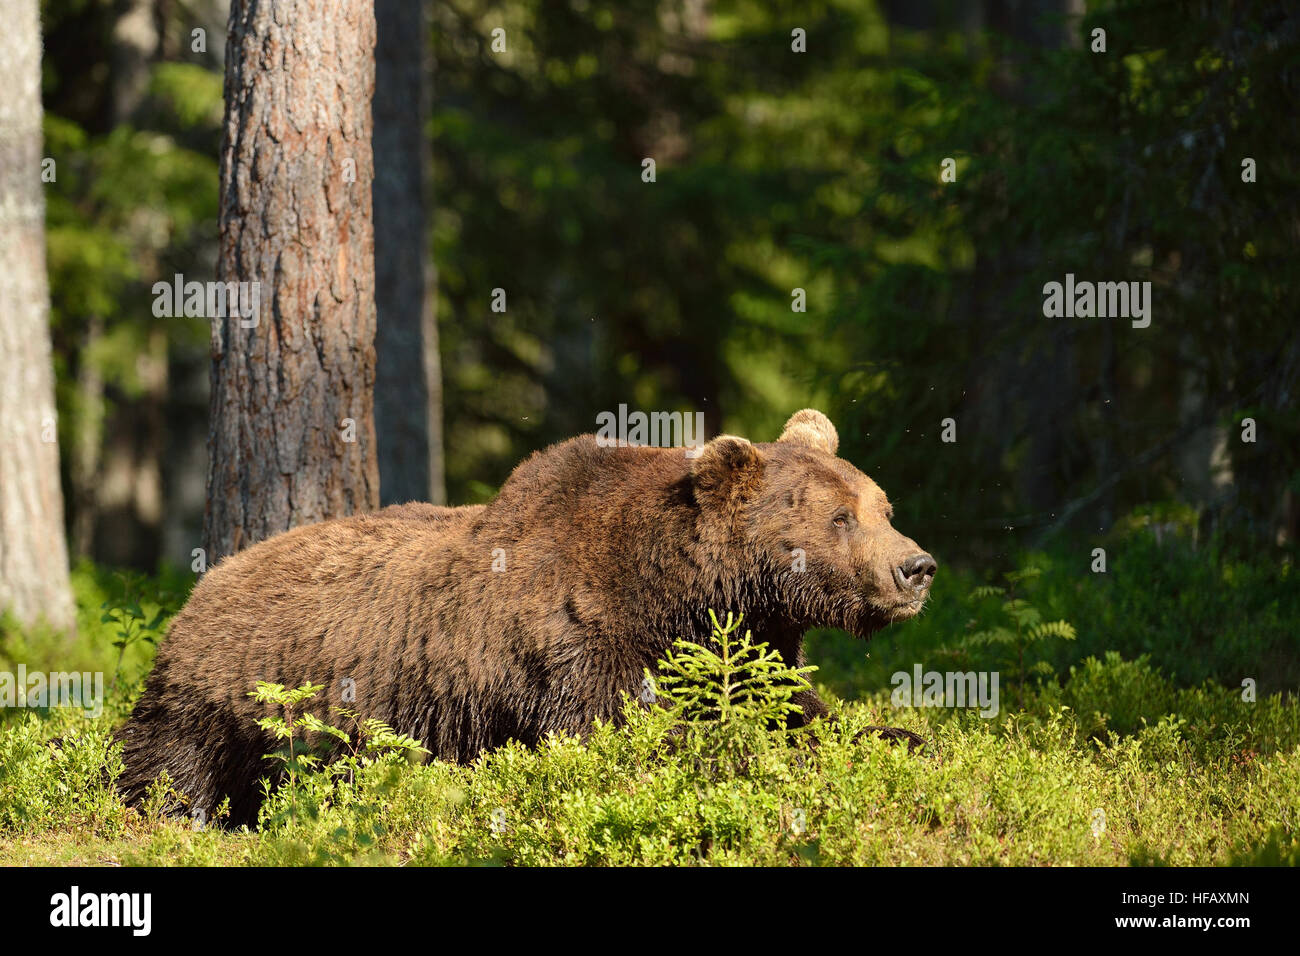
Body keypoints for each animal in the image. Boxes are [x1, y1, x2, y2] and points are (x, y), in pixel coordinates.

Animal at [116, 409, 935, 826]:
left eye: (883, 506)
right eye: (839, 518)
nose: (916, 567)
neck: (687, 597)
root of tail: (207, 579)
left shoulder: (752, 644)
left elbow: (797, 709)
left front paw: (900, 737)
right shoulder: (577, 645)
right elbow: (628, 736)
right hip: (225, 692)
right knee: (172, 764)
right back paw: (176, 815)